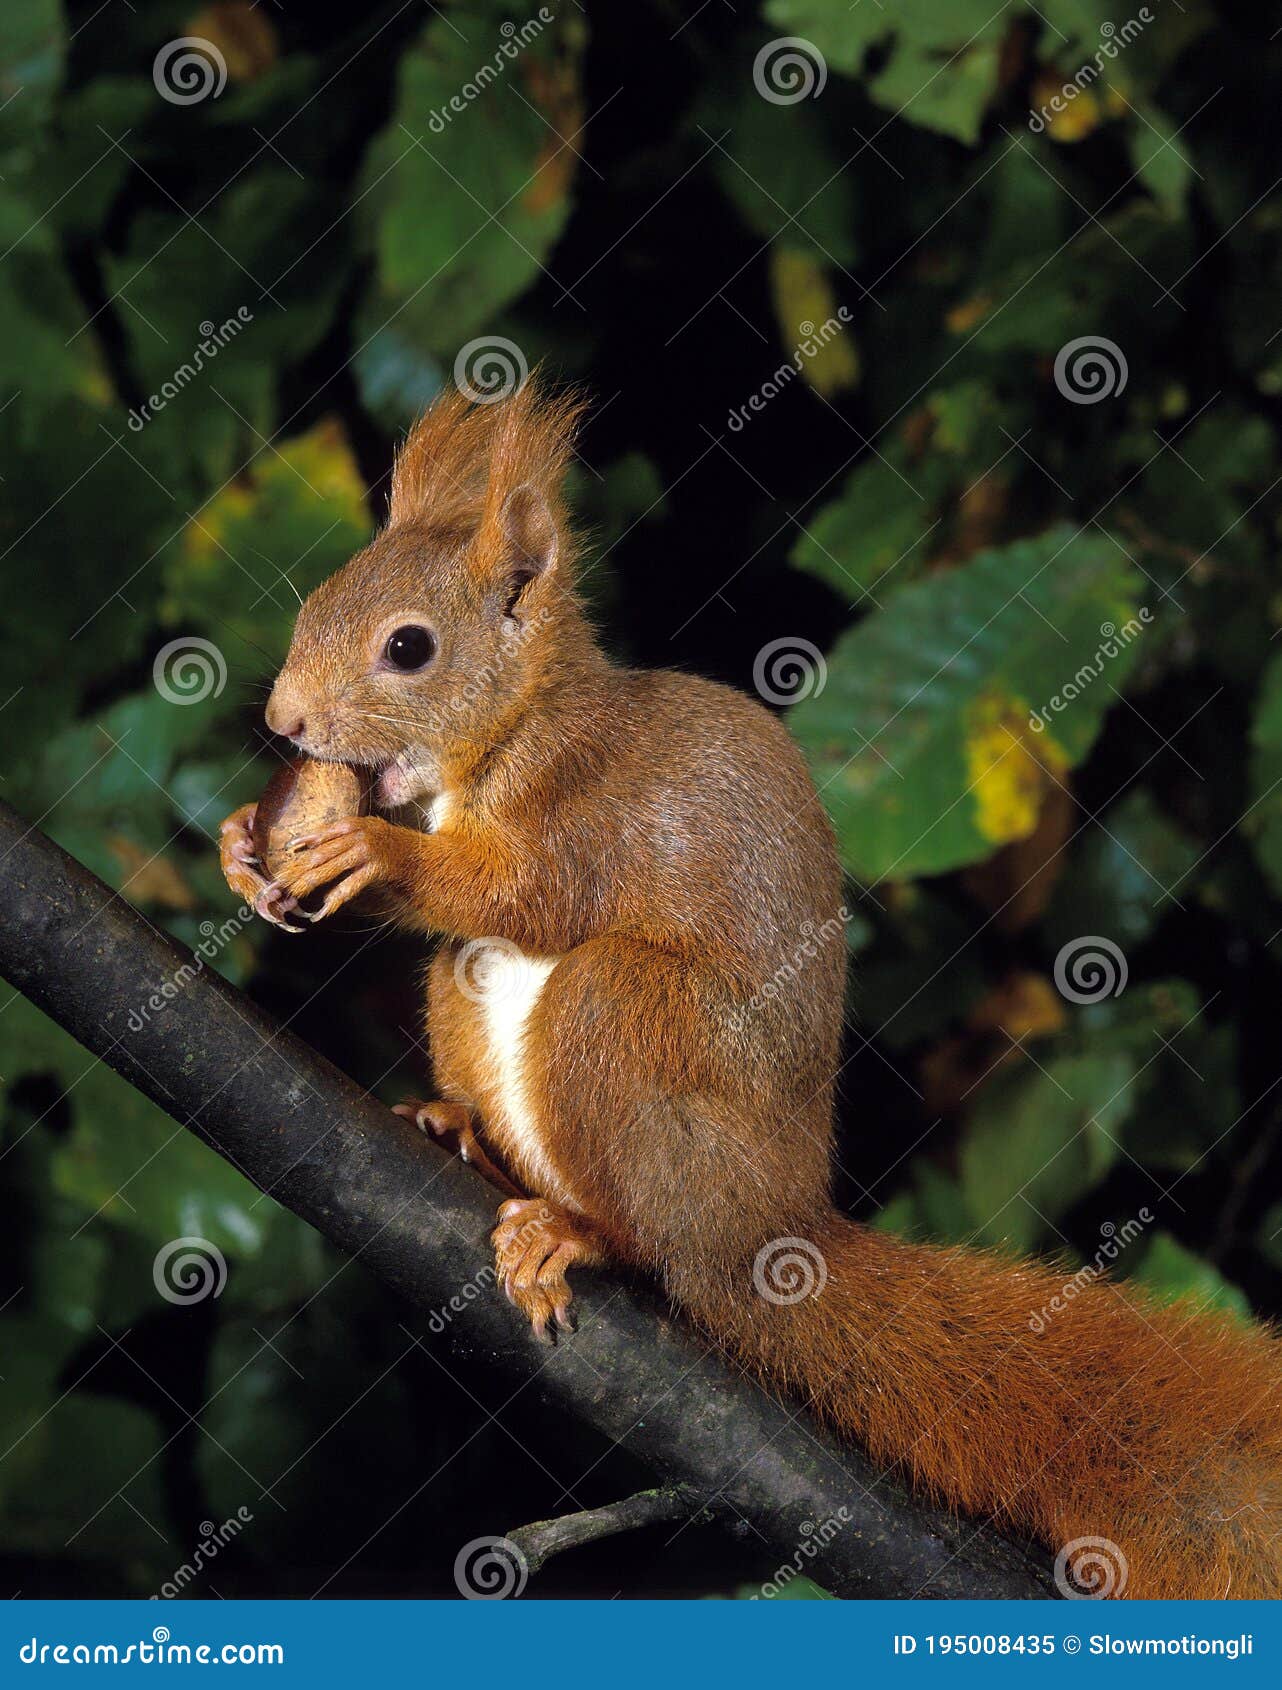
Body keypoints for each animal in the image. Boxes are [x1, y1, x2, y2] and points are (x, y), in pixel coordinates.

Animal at [219, 378, 1282, 1600]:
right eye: (315, 600)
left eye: (409, 647)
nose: (286, 723)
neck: (515, 728)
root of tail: (773, 1226)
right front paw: (240, 845)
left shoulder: (584, 810)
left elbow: (525, 894)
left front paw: (375, 853)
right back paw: (464, 1132)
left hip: (634, 1026)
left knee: (647, 1201)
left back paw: (579, 1231)